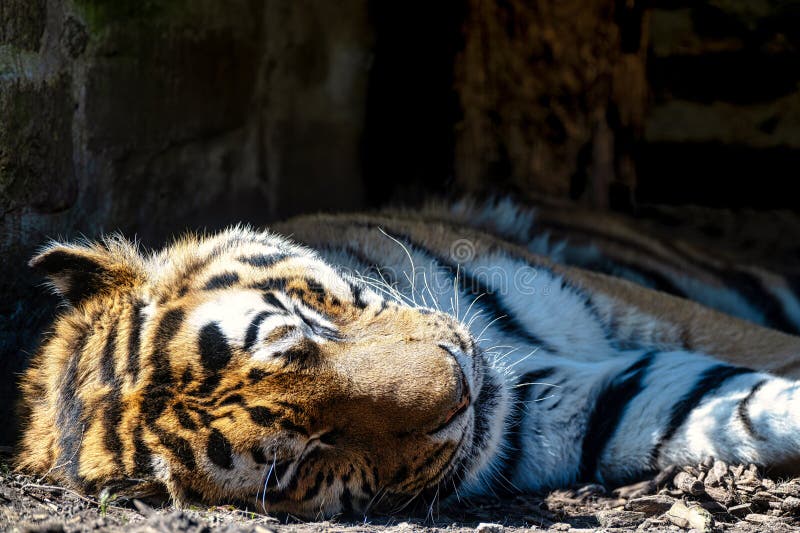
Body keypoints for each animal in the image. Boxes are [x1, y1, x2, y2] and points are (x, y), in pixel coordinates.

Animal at [16, 199, 800, 519]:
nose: (461, 390)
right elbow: (718, 406)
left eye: (306, 324)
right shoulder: (569, 410)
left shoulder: (626, 305)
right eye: (298, 458)